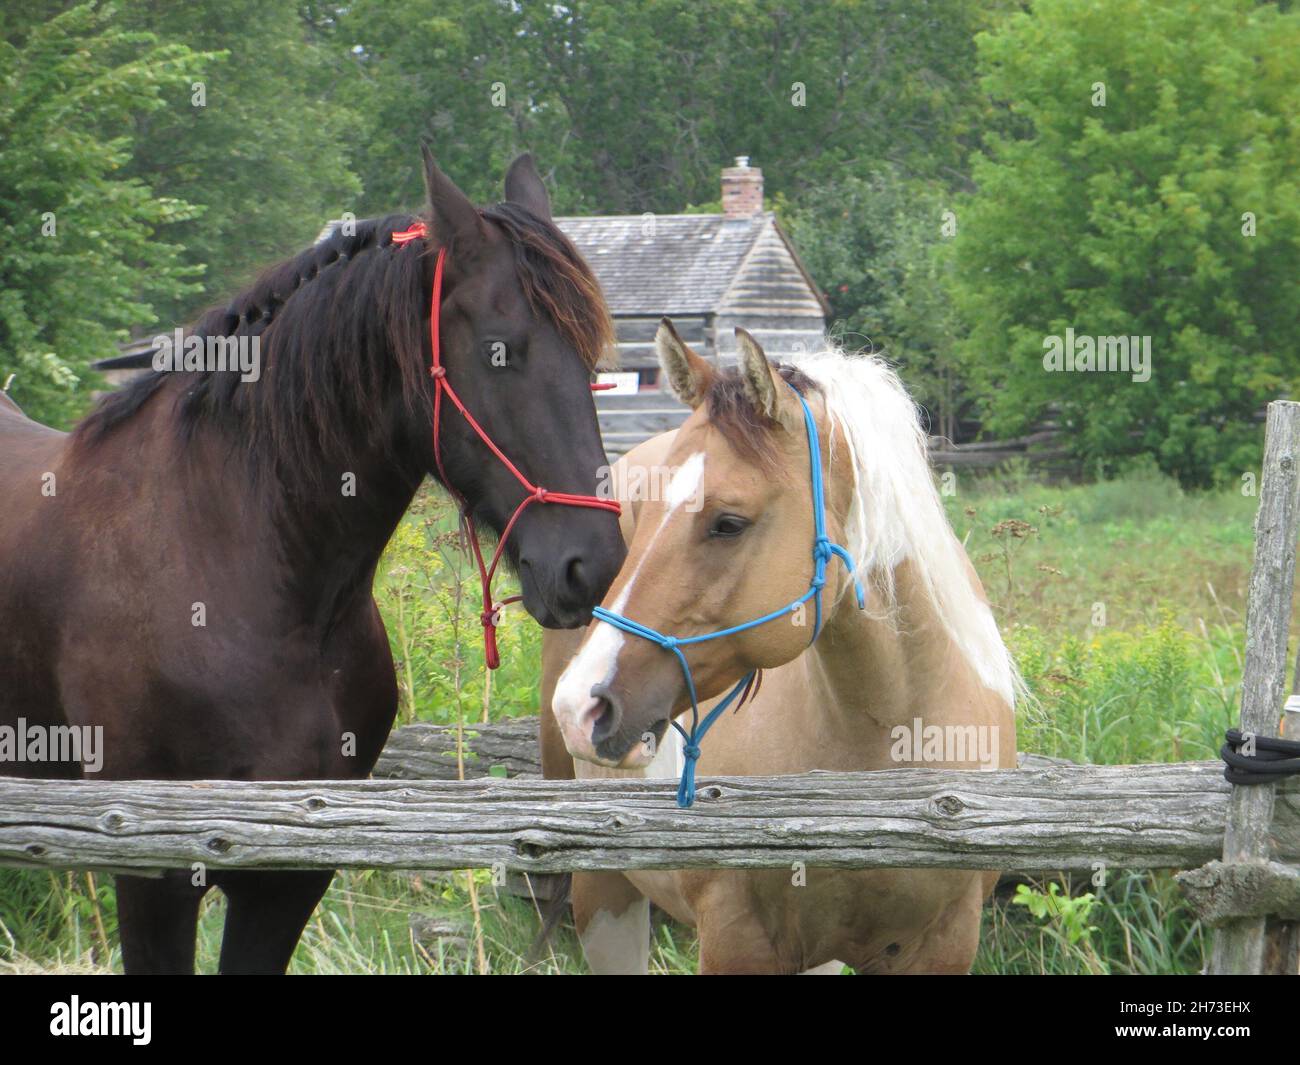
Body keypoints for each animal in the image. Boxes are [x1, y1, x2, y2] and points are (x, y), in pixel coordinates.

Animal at [540, 320, 1018, 974]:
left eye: (728, 522)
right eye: (644, 513)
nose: (582, 706)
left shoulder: (943, 944)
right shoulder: (736, 940)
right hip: (605, 896)